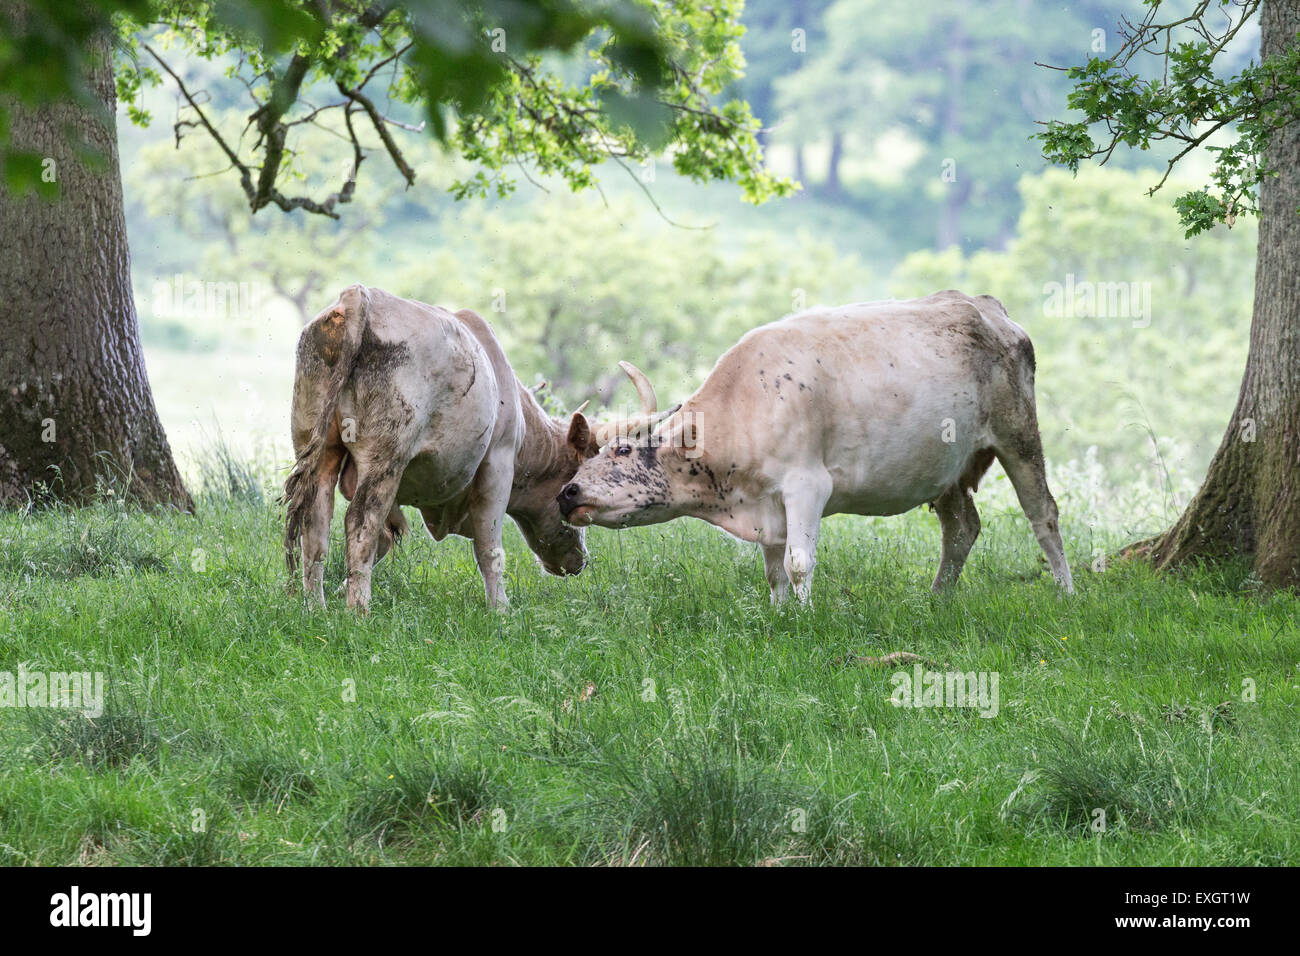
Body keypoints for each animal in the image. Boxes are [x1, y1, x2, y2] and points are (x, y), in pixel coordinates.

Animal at [283, 284, 667, 611]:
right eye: (573, 484)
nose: (579, 561)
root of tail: (358, 298)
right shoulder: (496, 466)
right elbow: (489, 547)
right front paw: (501, 610)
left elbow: (385, 541)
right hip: (385, 458)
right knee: (360, 522)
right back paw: (359, 611)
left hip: (320, 452)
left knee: (315, 525)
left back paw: (315, 608)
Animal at [557, 290, 1074, 603]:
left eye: (622, 451)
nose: (567, 493)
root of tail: (985, 306)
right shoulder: (768, 507)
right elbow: (773, 569)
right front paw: (779, 614)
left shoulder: (806, 486)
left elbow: (799, 563)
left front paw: (805, 618)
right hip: (946, 468)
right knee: (963, 528)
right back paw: (936, 598)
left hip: (1018, 436)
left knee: (1043, 513)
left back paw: (1066, 592)